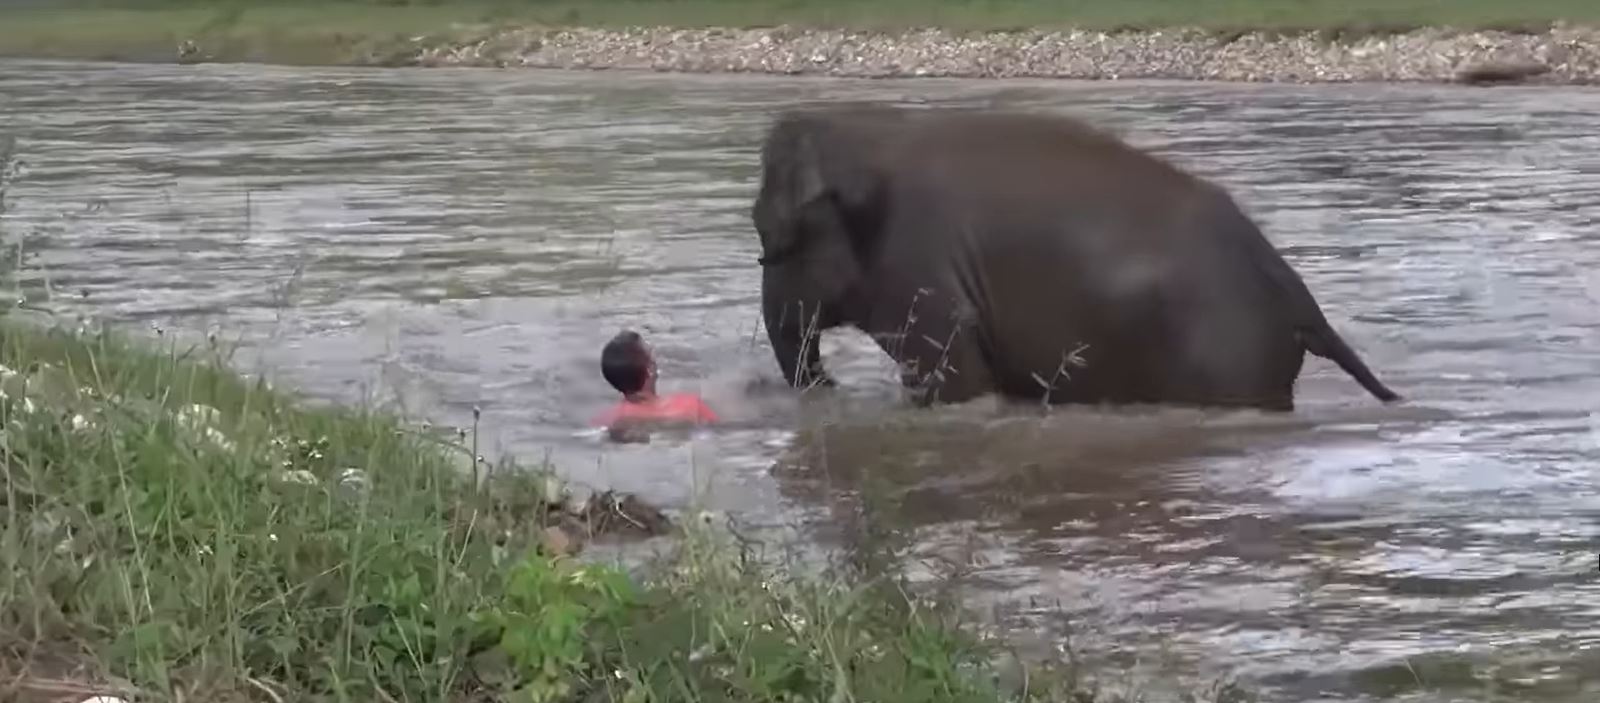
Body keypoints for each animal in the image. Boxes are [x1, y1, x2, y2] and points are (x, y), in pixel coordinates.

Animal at [750, 104, 1401, 412]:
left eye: (770, 238)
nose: (828, 389)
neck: (866, 127)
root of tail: (1298, 297)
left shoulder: (919, 274)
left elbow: (956, 383)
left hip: (1228, 359)